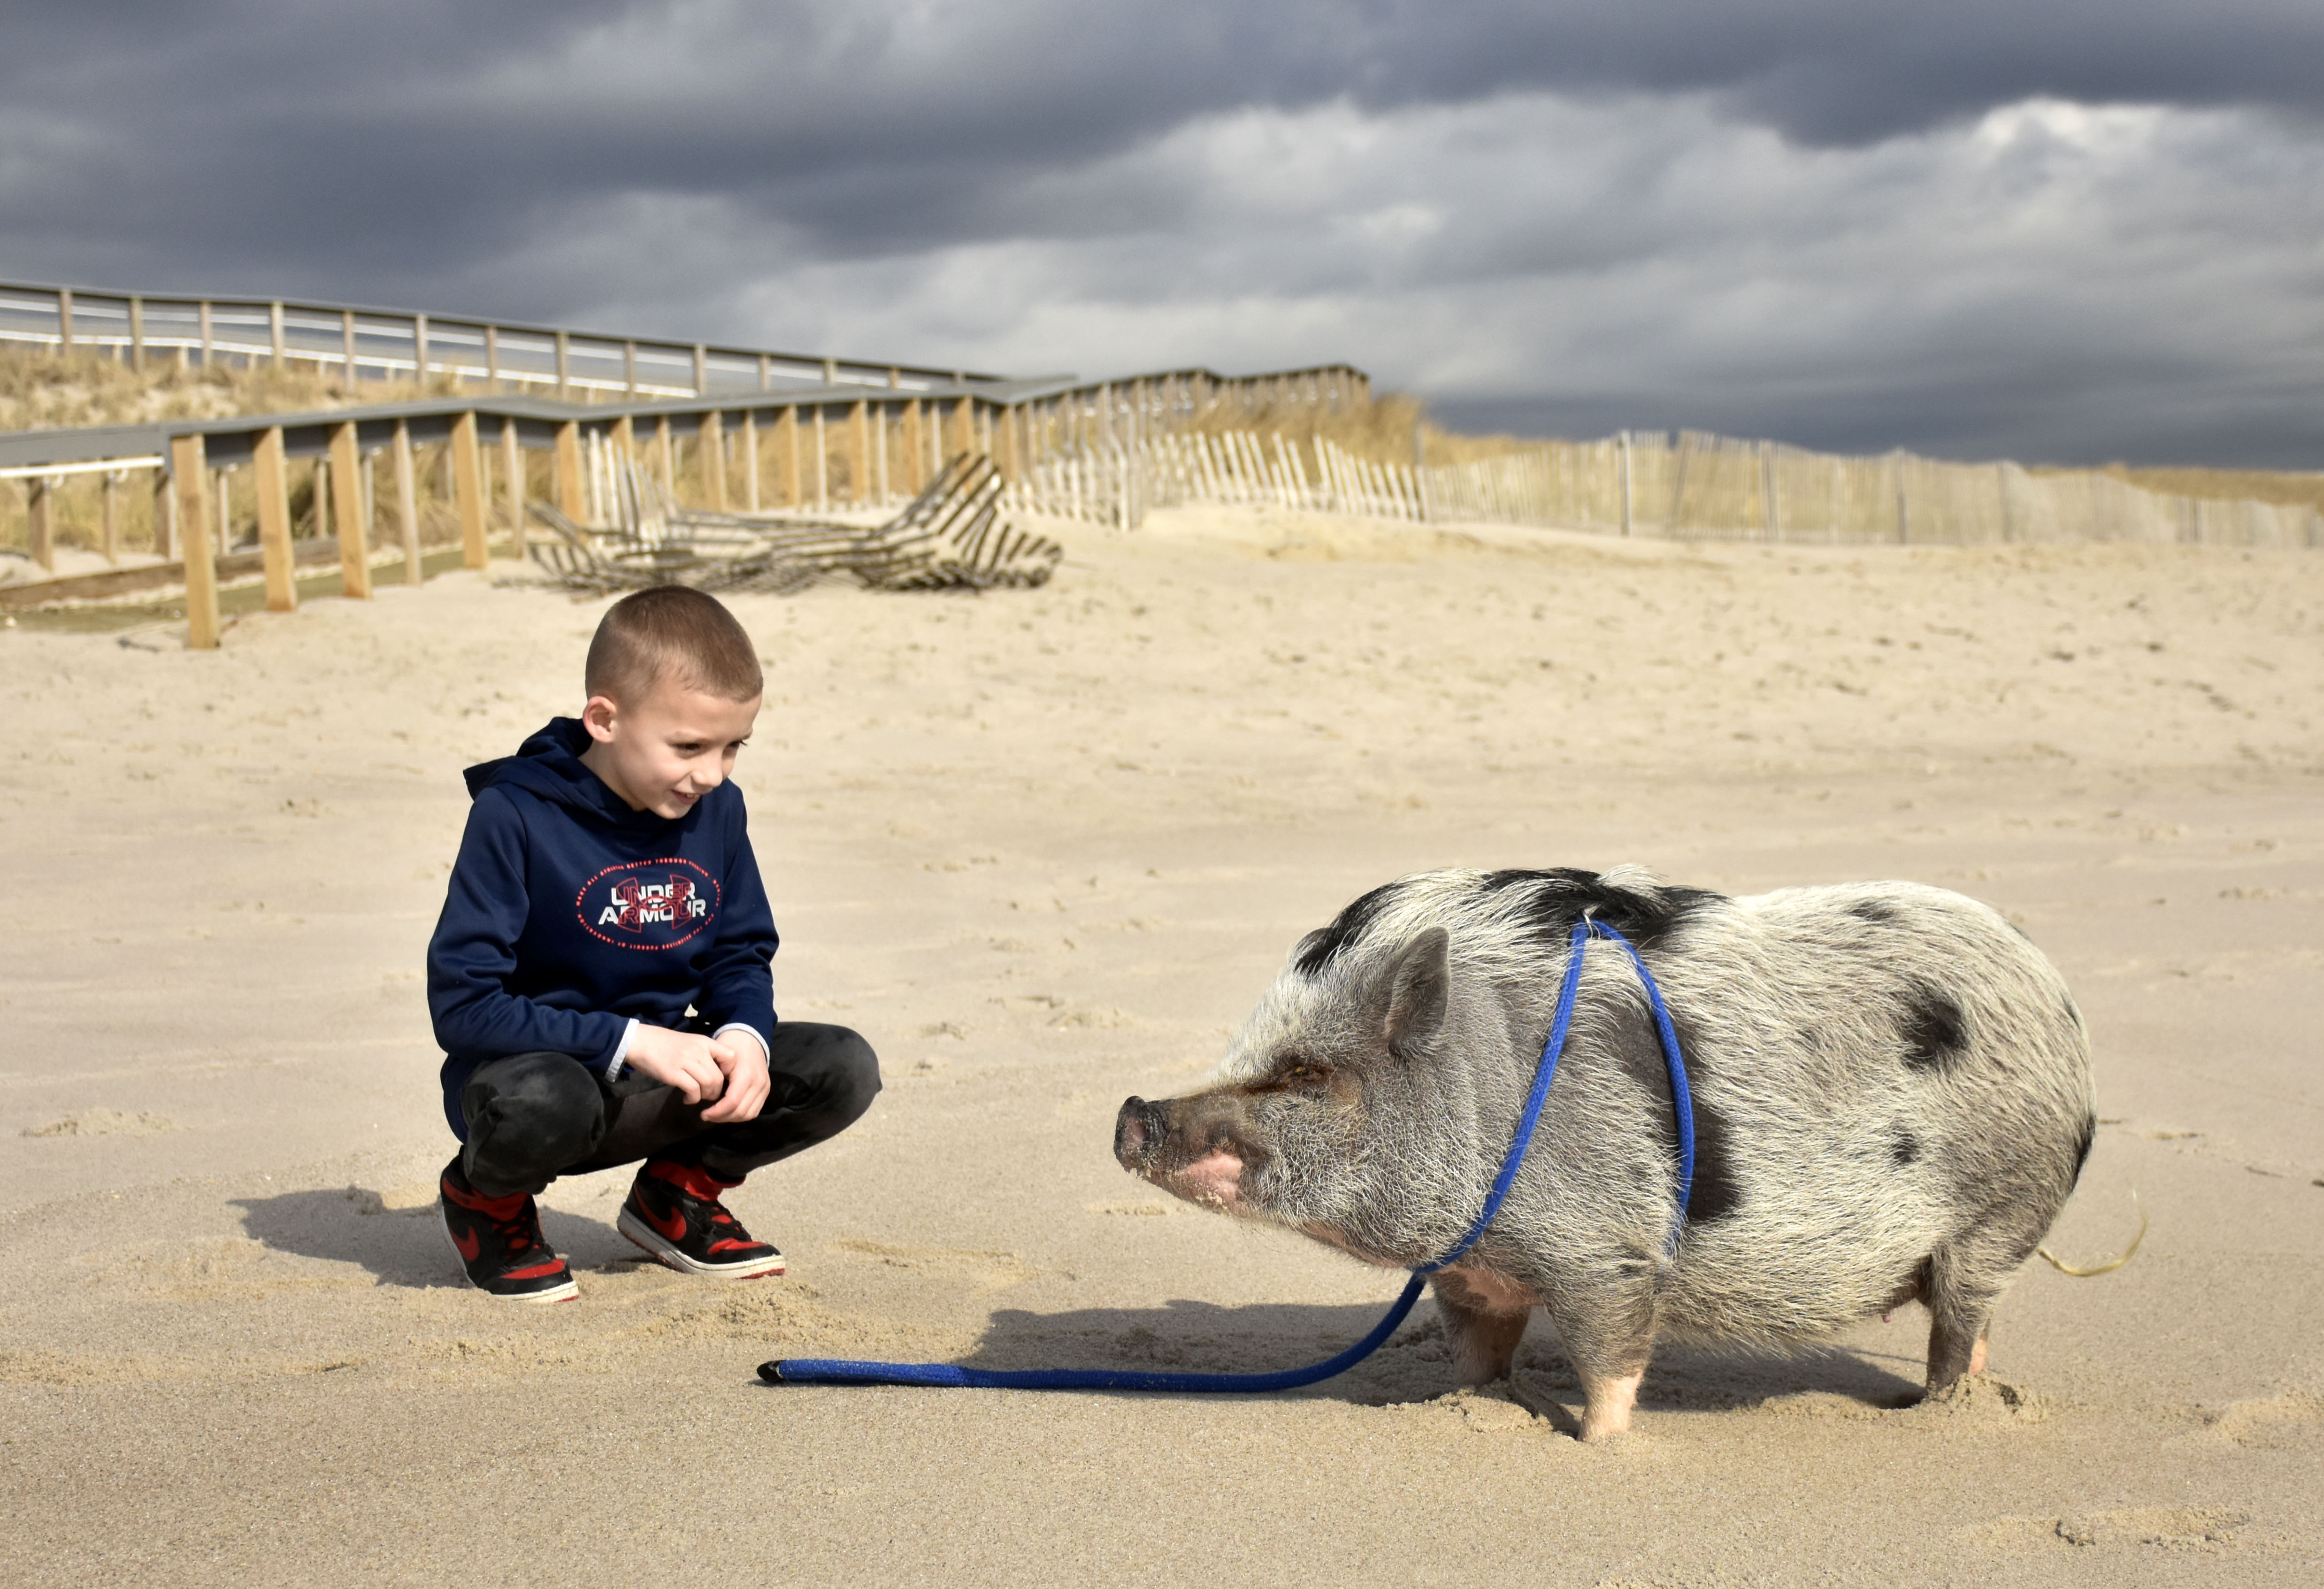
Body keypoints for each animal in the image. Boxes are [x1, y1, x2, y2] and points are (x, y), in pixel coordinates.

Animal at [1114, 866, 2096, 1440]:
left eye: (1307, 1073)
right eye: (1250, 1050)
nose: (1130, 1112)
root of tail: (2058, 1002)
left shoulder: (1606, 1253)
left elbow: (1612, 1363)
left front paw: (1597, 1444)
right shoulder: (1473, 1272)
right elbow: (1477, 1354)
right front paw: (1462, 1406)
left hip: (2000, 1209)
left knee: (1963, 1322)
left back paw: (1935, 1414)